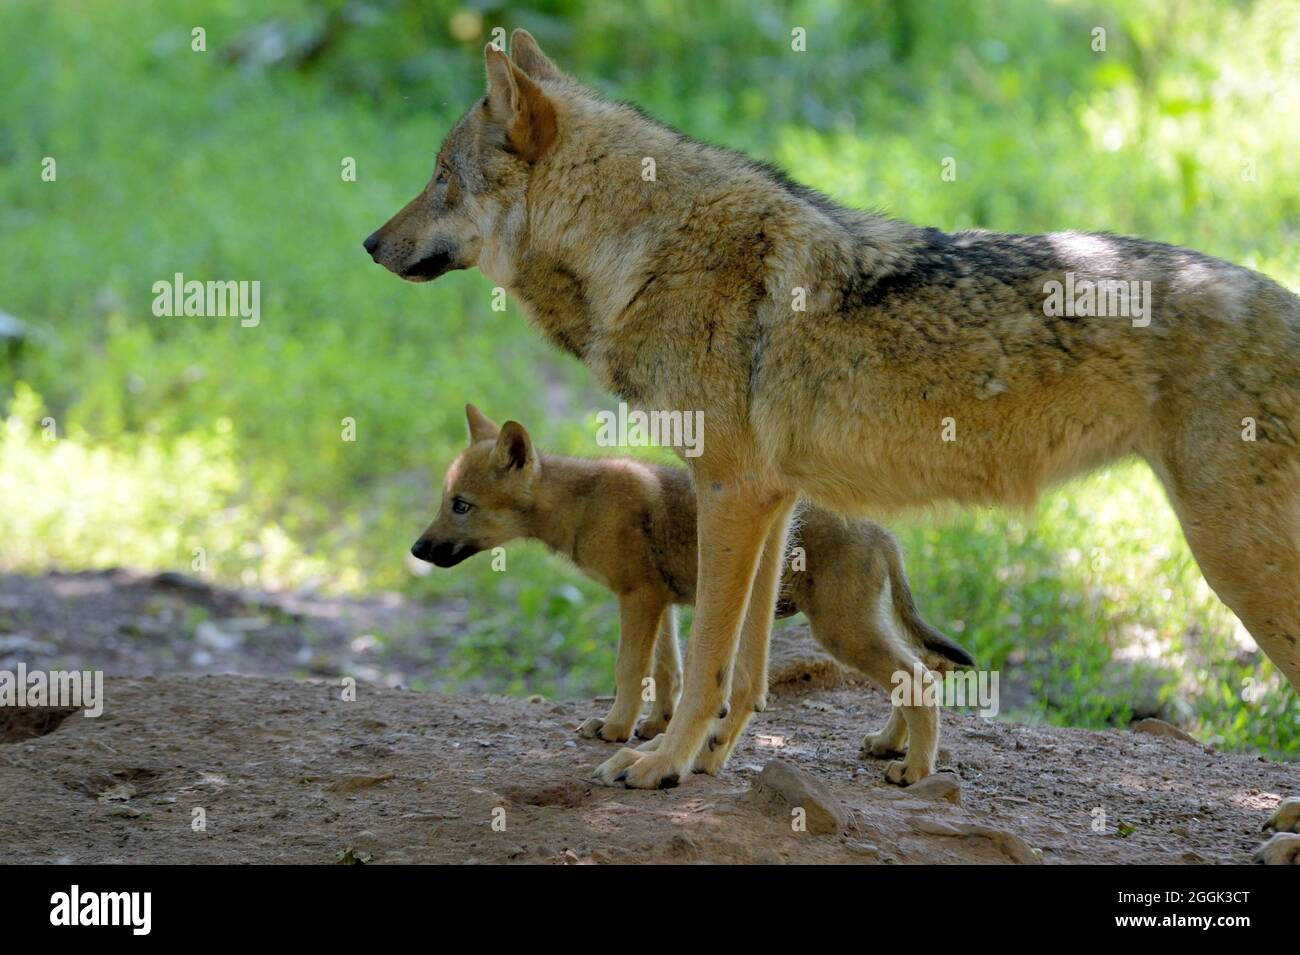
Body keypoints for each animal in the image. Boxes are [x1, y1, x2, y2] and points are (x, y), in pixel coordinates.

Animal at [411, 405, 974, 783]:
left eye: (460, 505)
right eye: (444, 501)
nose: (415, 550)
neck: (582, 502)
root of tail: (885, 534)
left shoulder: (638, 598)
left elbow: (629, 671)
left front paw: (616, 730)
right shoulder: (661, 602)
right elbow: (669, 673)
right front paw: (653, 729)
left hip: (841, 630)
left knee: (920, 678)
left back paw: (914, 770)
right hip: (858, 626)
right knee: (924, 668)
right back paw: (888, 746)